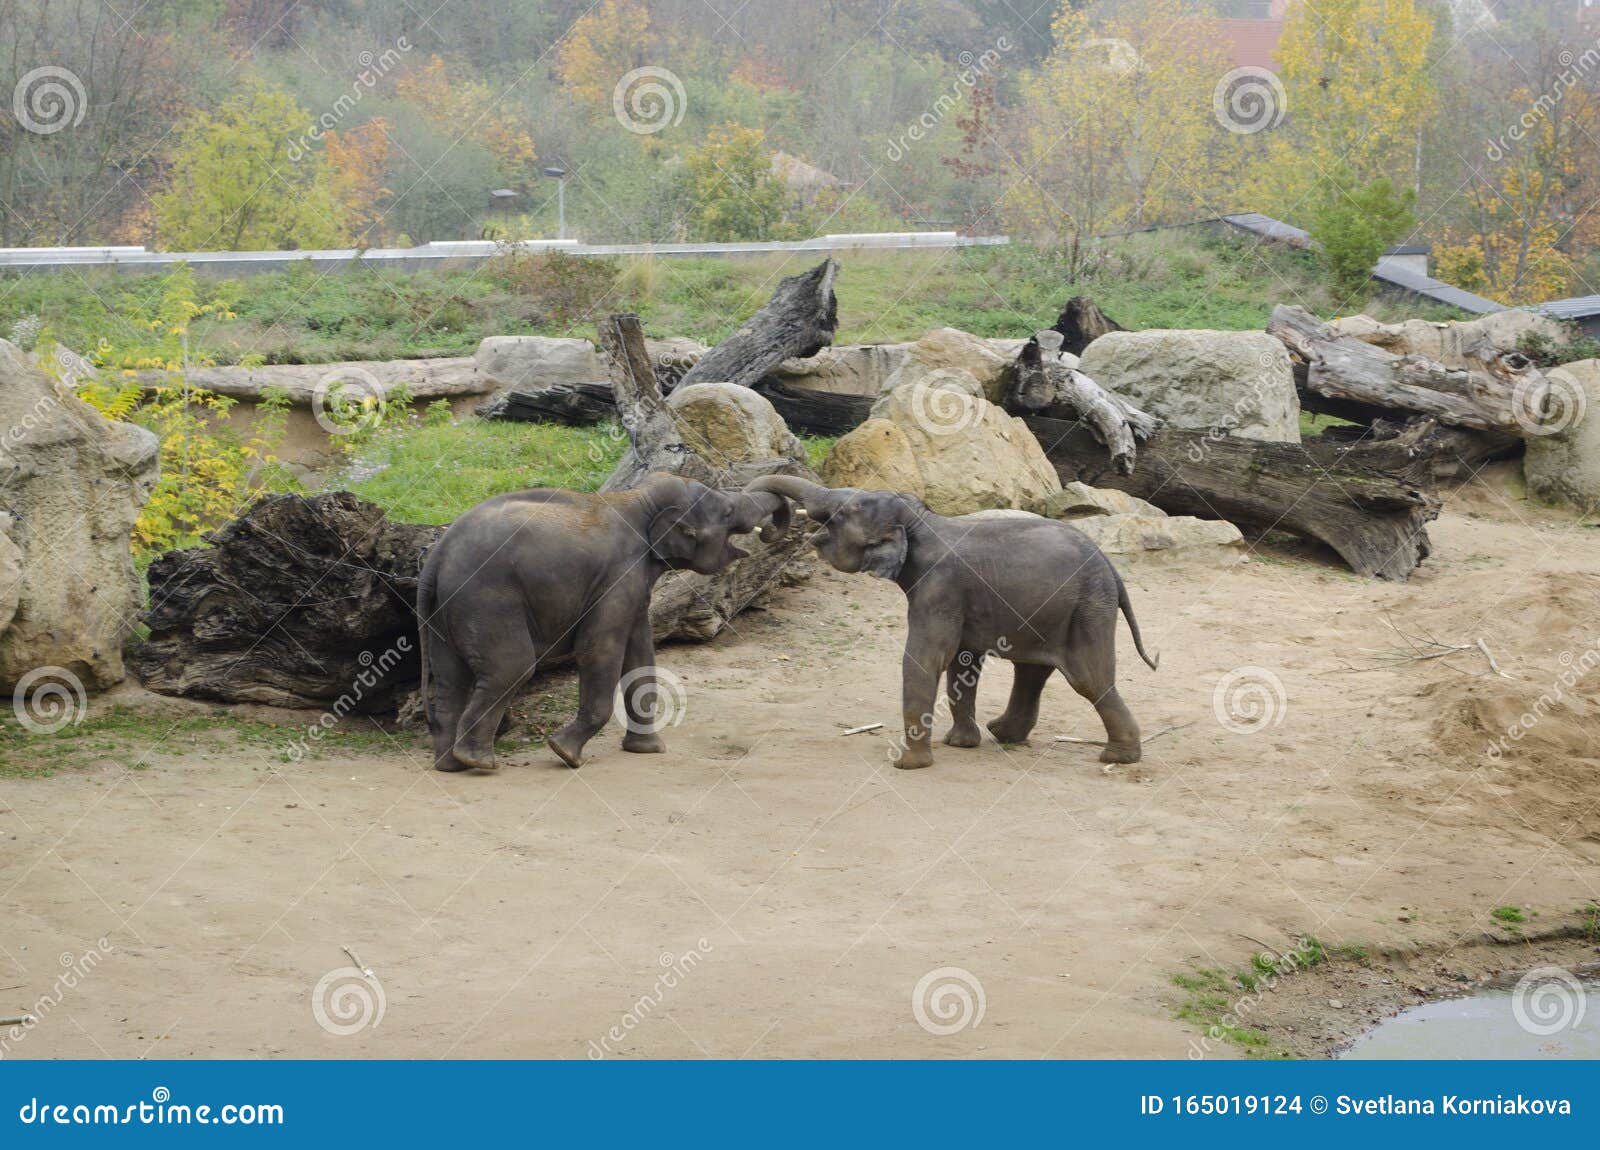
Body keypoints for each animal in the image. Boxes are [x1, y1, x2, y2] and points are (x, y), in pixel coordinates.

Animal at [417, 473, 790, 772]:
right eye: (726, 512)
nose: (771, 528)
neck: (639, 498)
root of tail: (437, 556)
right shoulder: (619, 576)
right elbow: (599, 649)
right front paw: (566, 755)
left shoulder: (635, 586)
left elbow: (641, 655)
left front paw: (648, 750)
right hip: (486, 600)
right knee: (512, 668)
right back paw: (478, 762)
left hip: (447, 610)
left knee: (450, 677)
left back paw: (451, 765)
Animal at [745, 475, 1158, 769]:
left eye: (843, 513)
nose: (768, 526)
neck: (921, 521)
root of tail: (1112, 569)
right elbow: (962, 664)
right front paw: (959, 744)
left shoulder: (939, 589)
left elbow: (928, 658)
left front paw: (908, 764)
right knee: (1032, 670)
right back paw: (1003, 734)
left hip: (1088, 610)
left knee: (1090, 680)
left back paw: (1117, 758)